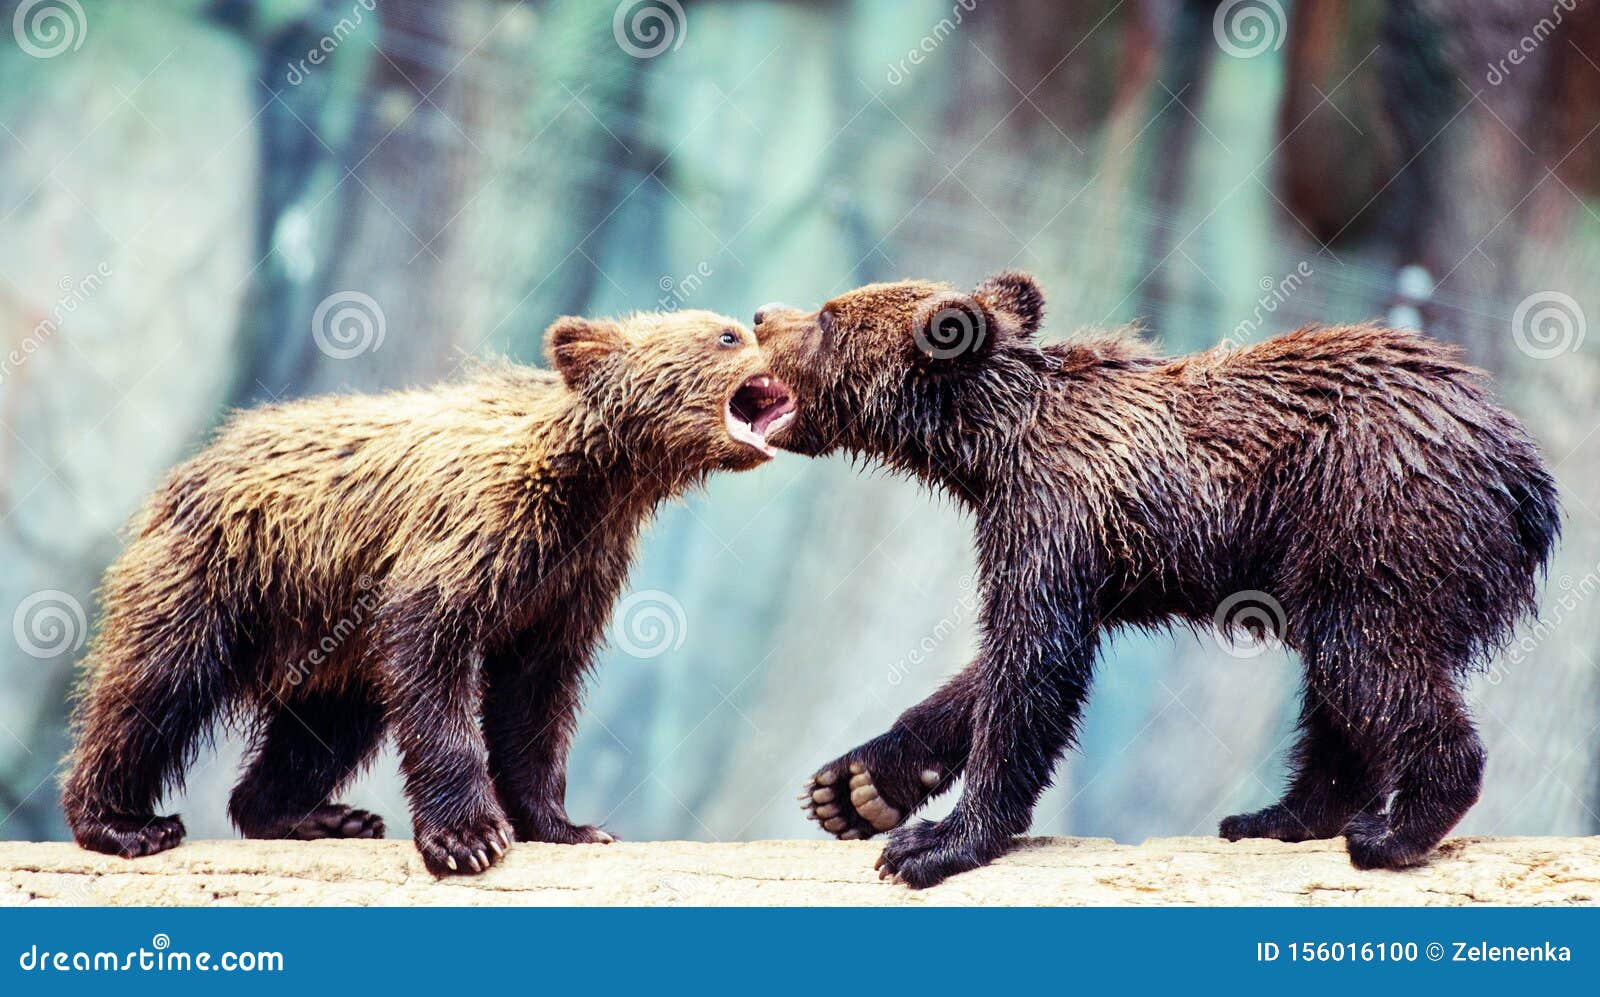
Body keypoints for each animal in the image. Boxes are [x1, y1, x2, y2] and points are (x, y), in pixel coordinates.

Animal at [61, 309, 796, 875]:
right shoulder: (471, 538)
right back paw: (123, 821)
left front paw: (570, 825)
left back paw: (322, 814)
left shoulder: (569, 583)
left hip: (329, 641)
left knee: (324, 730)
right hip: (226, 577)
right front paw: (469, 837)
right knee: (151, 688)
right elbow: (434, 659)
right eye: (729, 332)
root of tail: (194, 462)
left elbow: (536, 702)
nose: (778, 327)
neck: (596, 485)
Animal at [752, 273, 1559, 888]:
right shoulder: (1082, 554)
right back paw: (1274, 816)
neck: (988, 452)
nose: (762, 314)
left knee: (1372, 664)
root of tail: (1524, 471)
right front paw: (856, 787)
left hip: (1376, 519)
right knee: (1343, 691)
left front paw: (937, 842)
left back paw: (1395, 828)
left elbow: (1032, 667)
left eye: (827, 318)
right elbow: (993, 671)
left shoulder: (1055, 518)